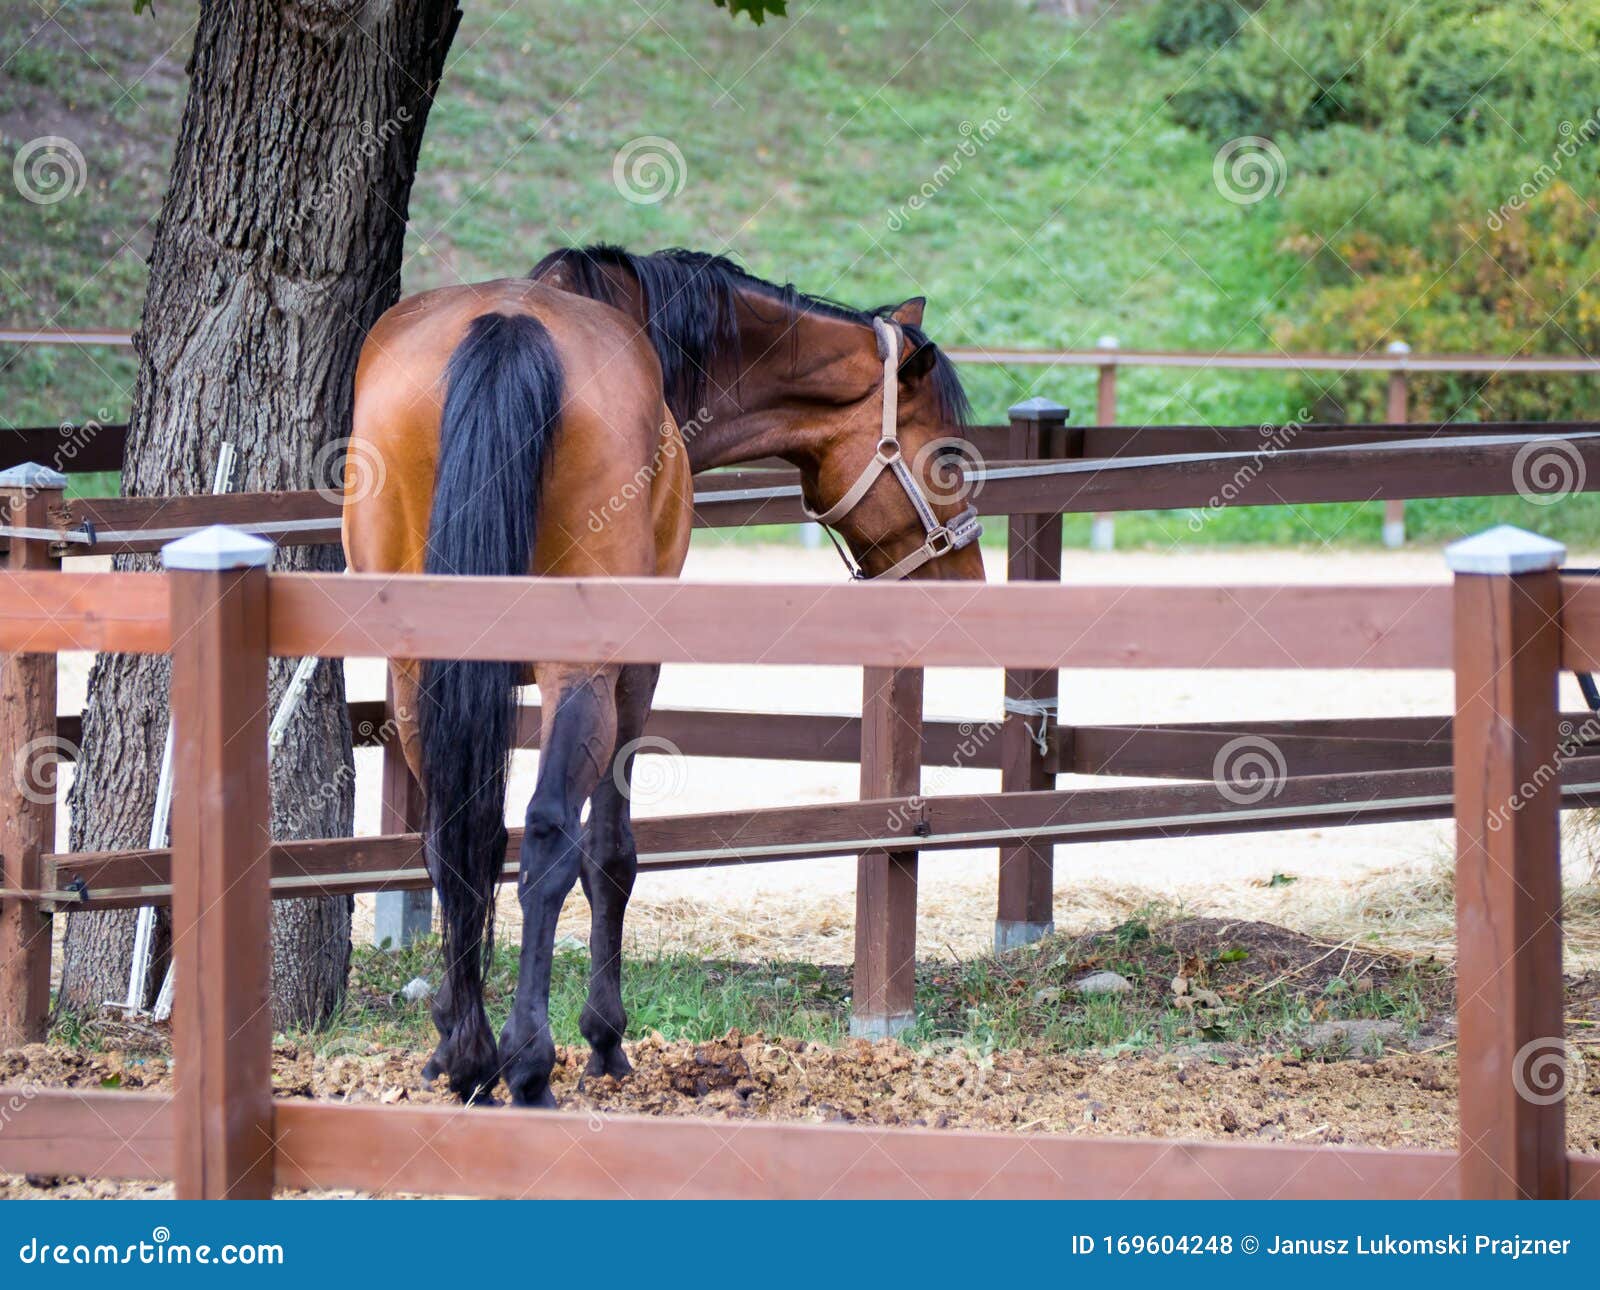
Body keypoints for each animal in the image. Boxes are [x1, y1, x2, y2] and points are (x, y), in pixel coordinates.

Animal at [342, 245, 984, 1106]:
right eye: (947, 456)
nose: (970, 580)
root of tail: (509, 326)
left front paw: (447, 1039)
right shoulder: (634, 673)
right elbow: (610, 854)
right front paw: (604, 1038)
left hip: (420, 675)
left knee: (453, 839)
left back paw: (470, 1054)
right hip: (579, 675)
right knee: (547, 837)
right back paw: (528, 1065)